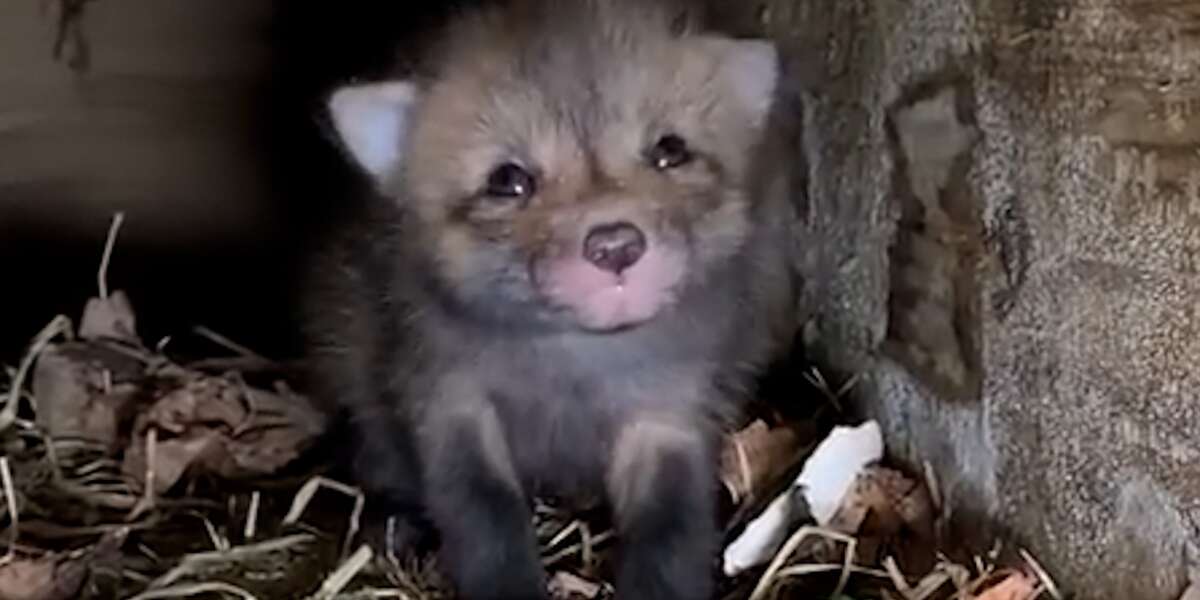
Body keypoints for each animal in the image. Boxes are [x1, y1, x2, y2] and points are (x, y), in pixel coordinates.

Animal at [300, 1, 798, 598]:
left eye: (670, 151)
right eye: (508, 180)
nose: (615, 246)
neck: (572, 376)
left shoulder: (666, 415)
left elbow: (671, 528)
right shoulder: (450, 403)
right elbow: (483, 511)